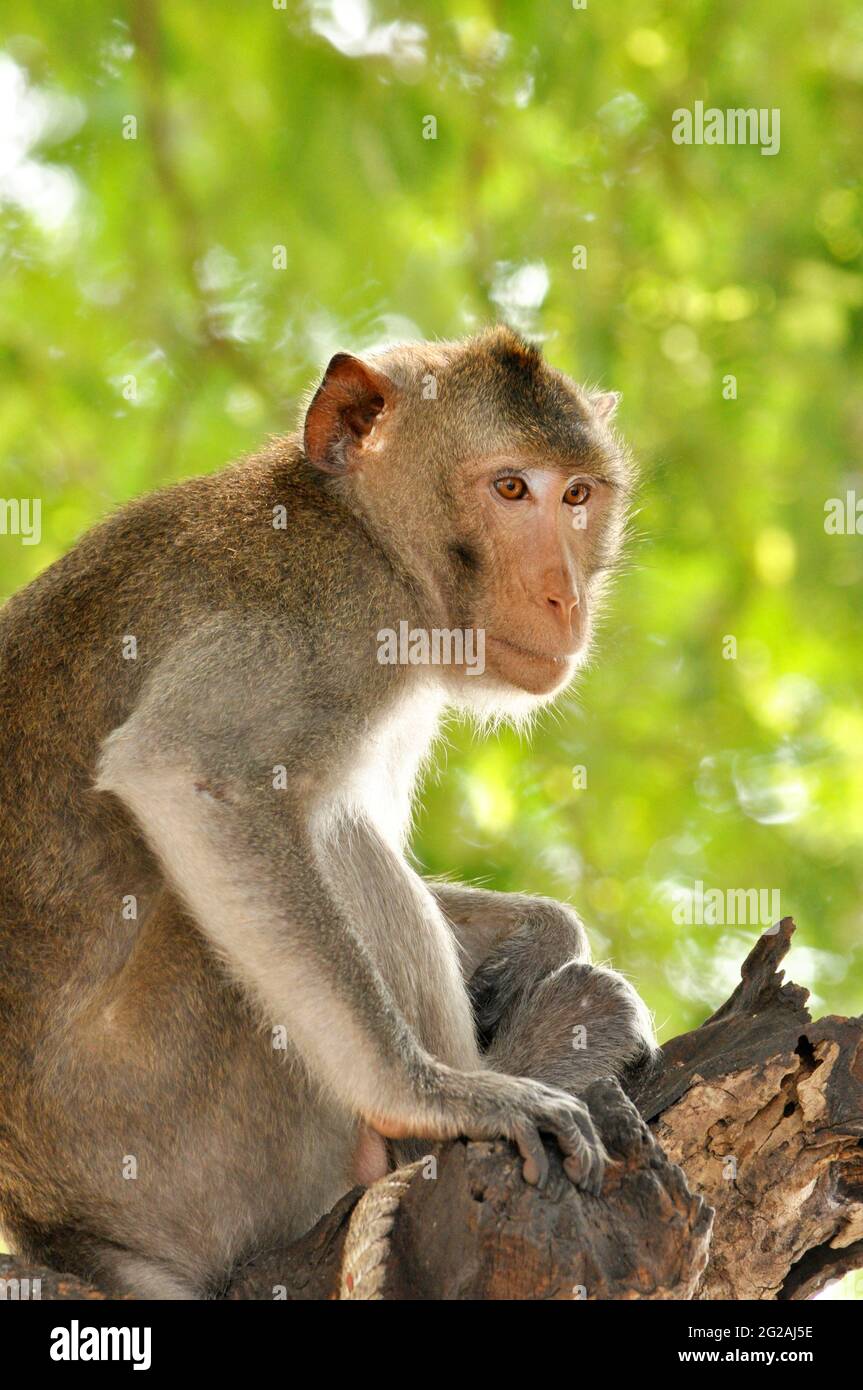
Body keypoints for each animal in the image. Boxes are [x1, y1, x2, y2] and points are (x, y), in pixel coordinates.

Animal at [0, 326, 656, 1299]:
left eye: (577, 495)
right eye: (510, 488)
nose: (563, 597)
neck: (363, 532)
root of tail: (59, 1231)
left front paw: (537, 938)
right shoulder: (322, 624)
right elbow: (192, 777)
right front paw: (437, 1097)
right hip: (167, 1138)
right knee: (330, 837)